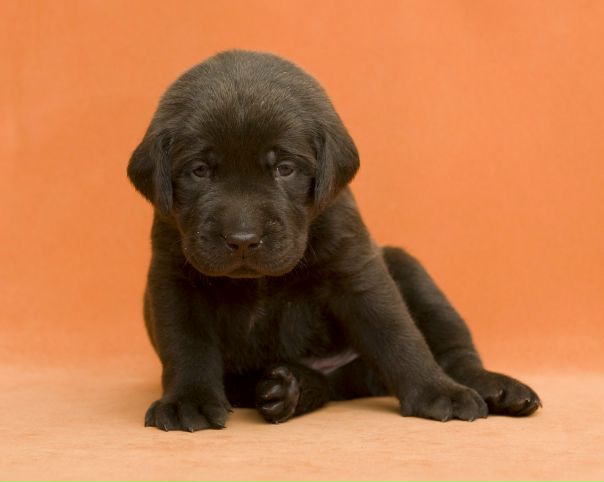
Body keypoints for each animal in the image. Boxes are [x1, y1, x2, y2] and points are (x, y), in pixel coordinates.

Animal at [127, 50, 541, 432]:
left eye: (285, 169)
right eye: (199, 171)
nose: (243, 239)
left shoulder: (356, 268)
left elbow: (397, 334)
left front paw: (438, 391)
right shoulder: (174, 279)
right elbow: (187, 344)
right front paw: (188, 401)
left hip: (410, 271)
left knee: (456, 349)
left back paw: (496, 388)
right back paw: (285, 390)